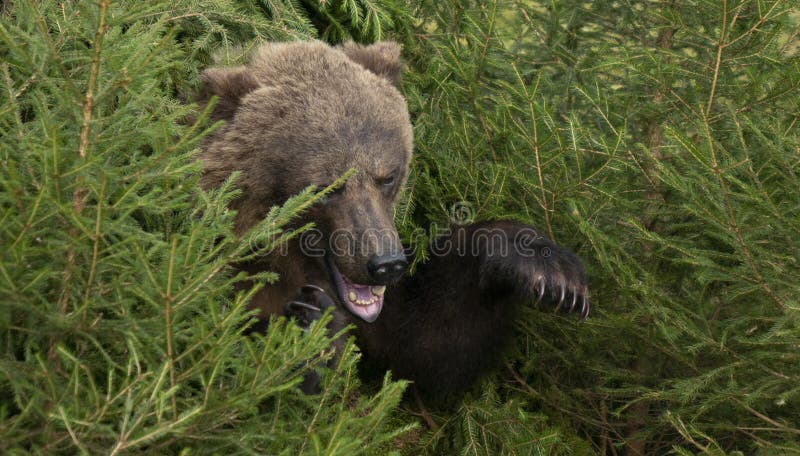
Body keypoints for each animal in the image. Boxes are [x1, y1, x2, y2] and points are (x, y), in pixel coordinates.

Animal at [196, 41, 589, 395]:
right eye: (328, 186)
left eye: (387, 176)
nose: (385, 264)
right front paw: (309, 327)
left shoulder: (386, 320)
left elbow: (430, 350)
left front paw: (552, 273)